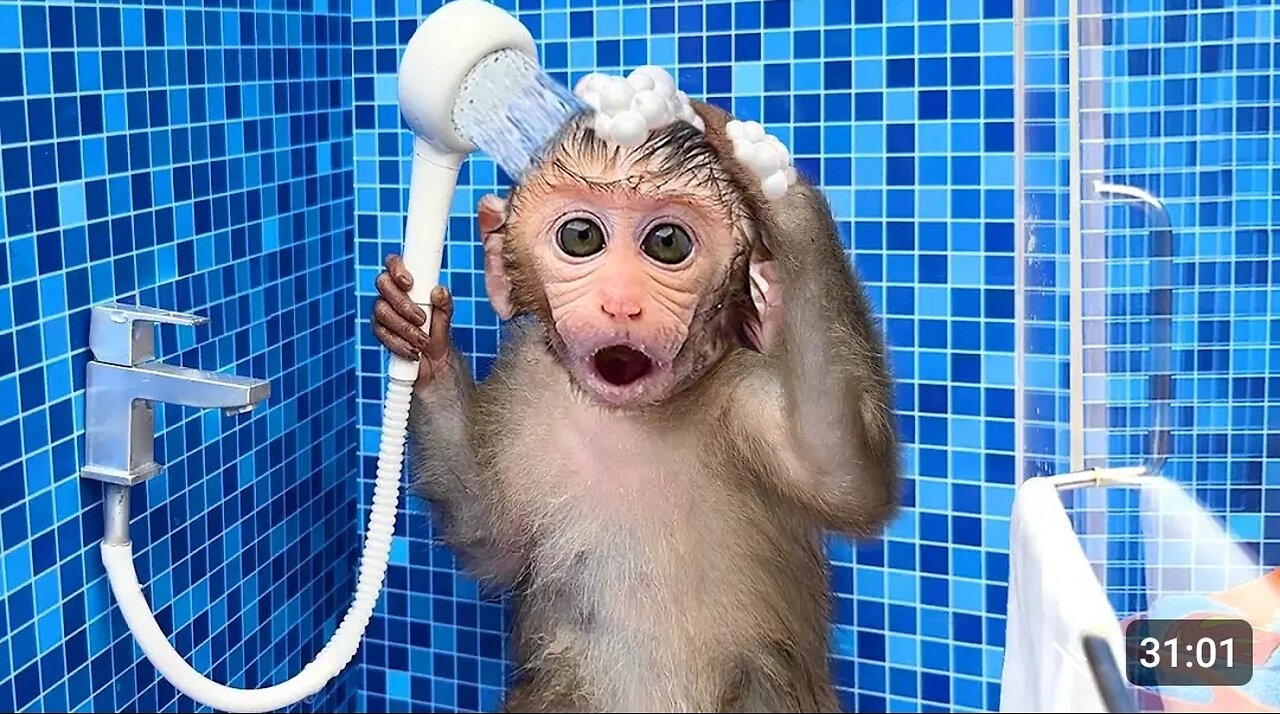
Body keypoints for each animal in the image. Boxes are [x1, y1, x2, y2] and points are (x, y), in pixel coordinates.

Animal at [370, 69, 900, 713]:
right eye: (580, 237)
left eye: (667, 243)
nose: (621, 302)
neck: (627, 417)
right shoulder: (525, 384)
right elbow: (491, 535)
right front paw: (420, 338)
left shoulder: (744, 393)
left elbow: (839, 475)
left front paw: (773, 185)